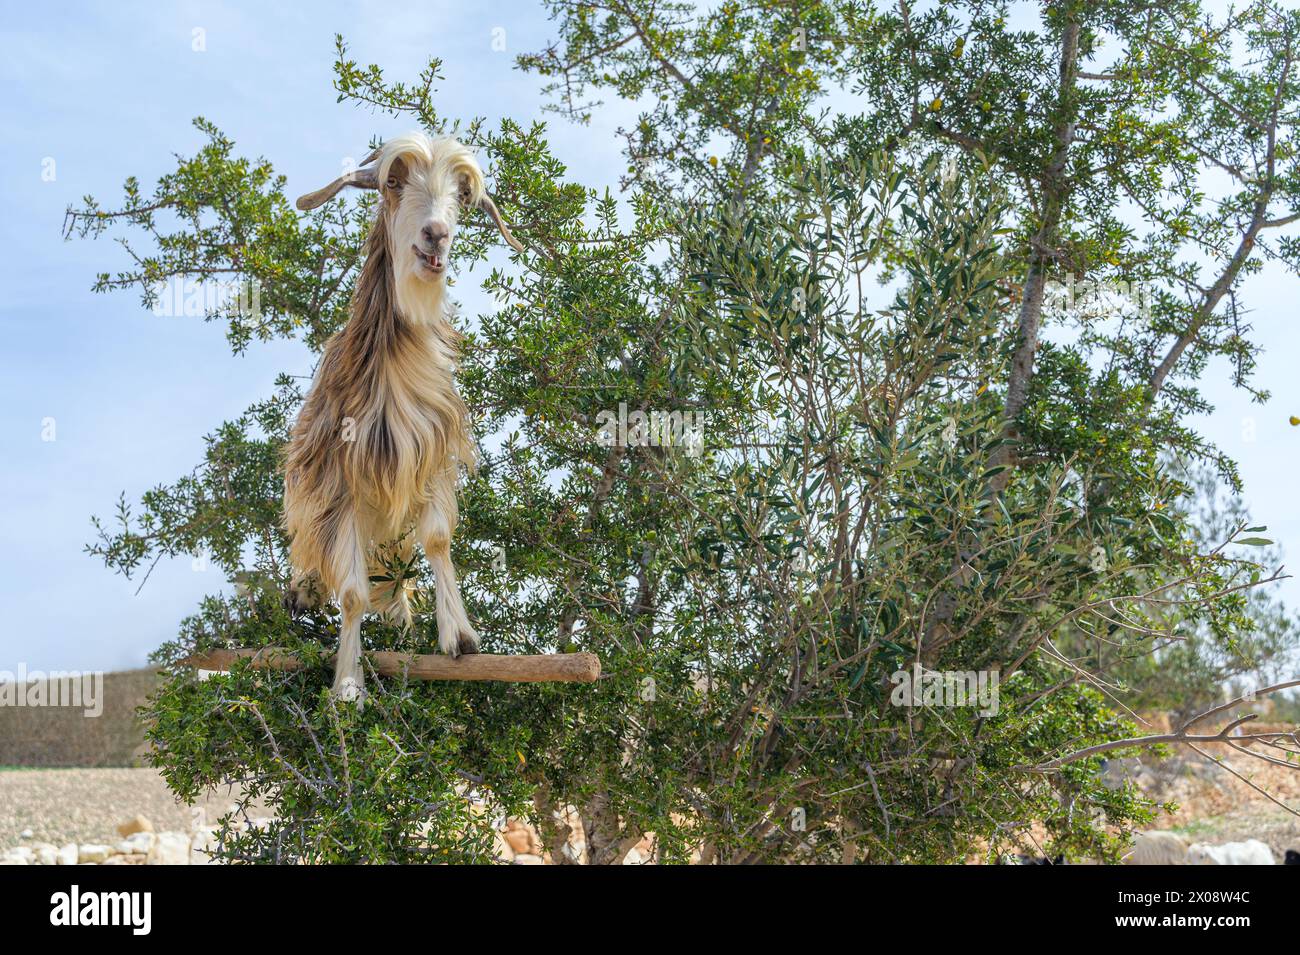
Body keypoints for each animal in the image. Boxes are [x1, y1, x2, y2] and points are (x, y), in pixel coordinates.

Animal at [284, 132, 523, 703]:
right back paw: (303, 590)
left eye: (462, 194)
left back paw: (397, 610)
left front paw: (458, 634)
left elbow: (436, 539)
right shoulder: (338, 483)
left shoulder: (431, 455)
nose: (435, 233)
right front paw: (348, 687)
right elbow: (350, 592)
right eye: (393, 182)